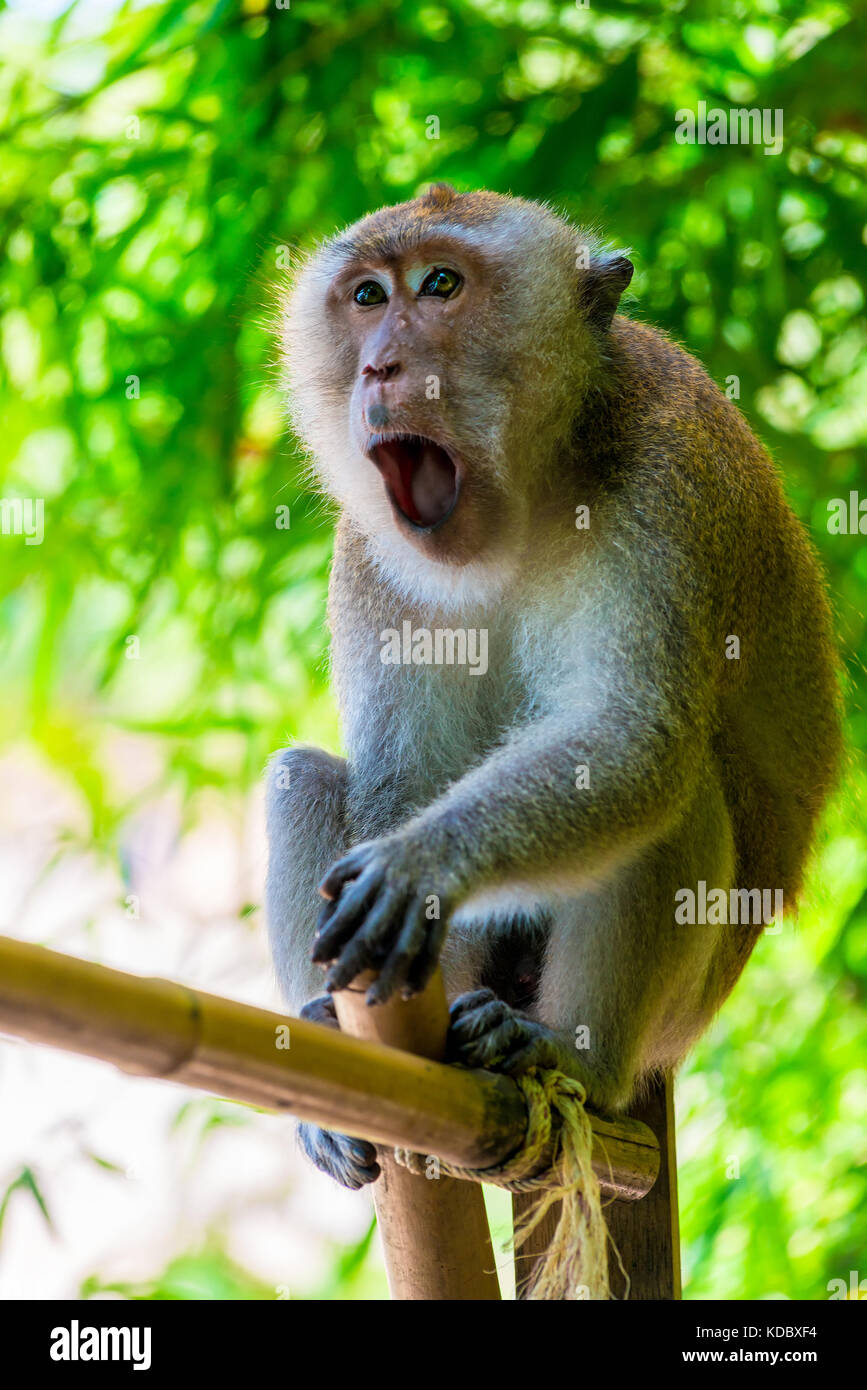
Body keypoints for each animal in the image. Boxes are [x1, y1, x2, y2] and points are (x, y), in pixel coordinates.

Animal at [266, 184, 842, 1190]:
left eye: (440, 285)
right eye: (367, 296)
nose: (380, 366)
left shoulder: (664, 484)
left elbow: (628, 741)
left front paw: (422, 867)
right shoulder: (365, 552)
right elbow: (399, 783)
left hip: (684, 1012)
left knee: (666, 795)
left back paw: (567, 1054)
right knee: (303, 777)